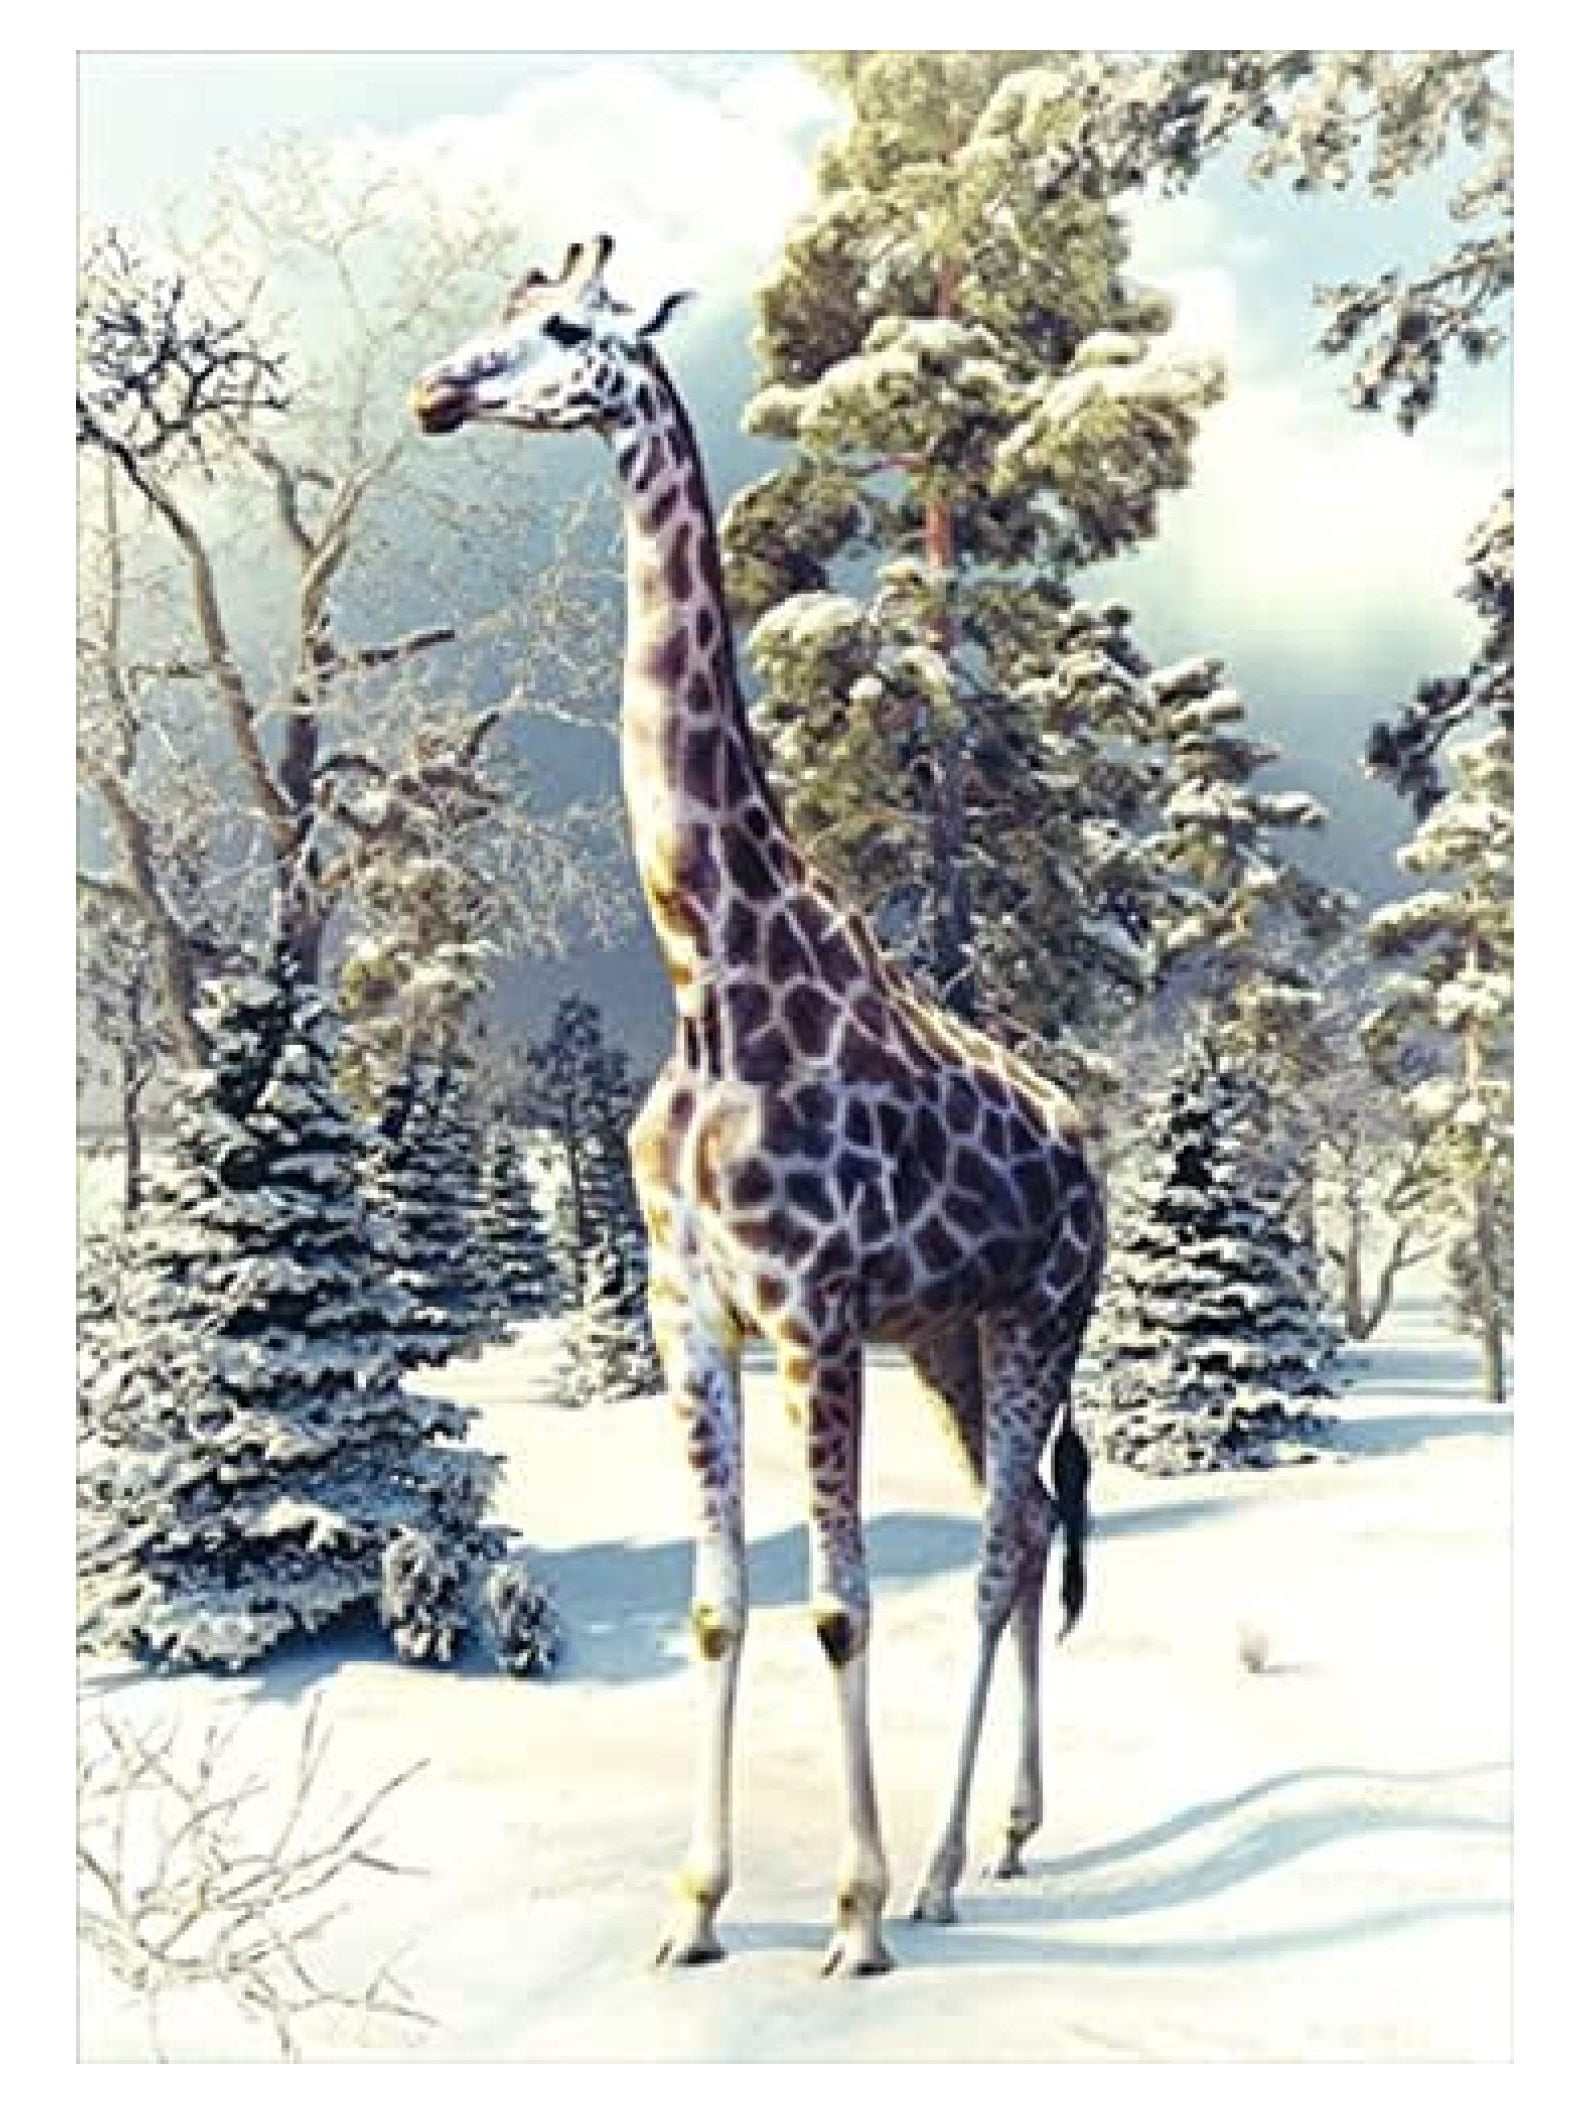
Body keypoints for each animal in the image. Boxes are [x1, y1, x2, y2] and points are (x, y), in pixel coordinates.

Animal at [411, 235, 1106, 1977]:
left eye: (565, 326)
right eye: (497, 311)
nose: (438, 388)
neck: (708, 976)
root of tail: (1086, 1148)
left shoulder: (811, 1310)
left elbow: (843, 1600)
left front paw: (849, 1916)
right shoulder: (692, 1311)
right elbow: (722, 1599)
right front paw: (694, 1907)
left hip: (1043, 1308)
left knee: (998, 1551)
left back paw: (936, 1870)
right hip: (955, 1331)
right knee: (1024, 1528)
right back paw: (1005, 1834)